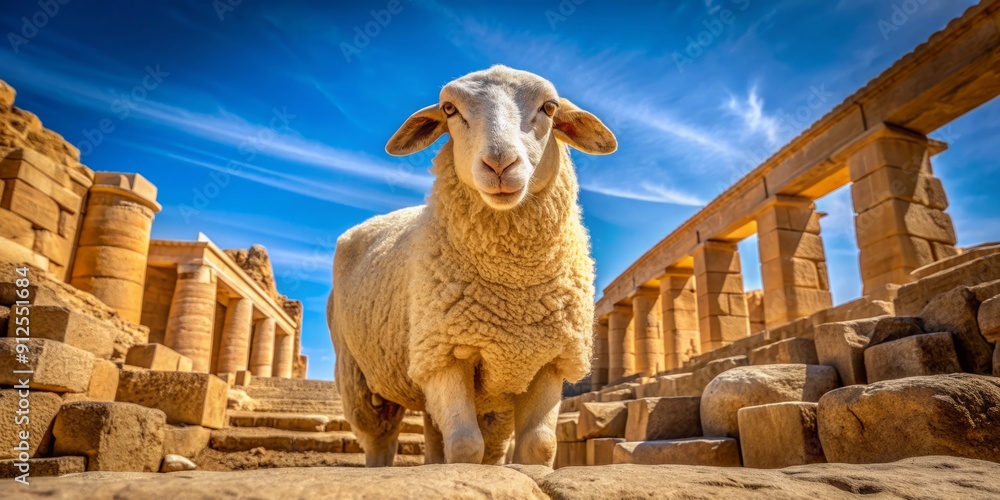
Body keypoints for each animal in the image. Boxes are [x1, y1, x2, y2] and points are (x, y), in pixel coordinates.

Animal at [327, 65, 617, 467]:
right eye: (450, 109)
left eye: (549, 107)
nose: (500, 164)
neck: (513, 289)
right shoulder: (445, 355)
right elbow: (465, 446)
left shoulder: (549, 358)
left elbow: (538, 445)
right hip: (361, 375)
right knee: (379, 437)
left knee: (452, 435)